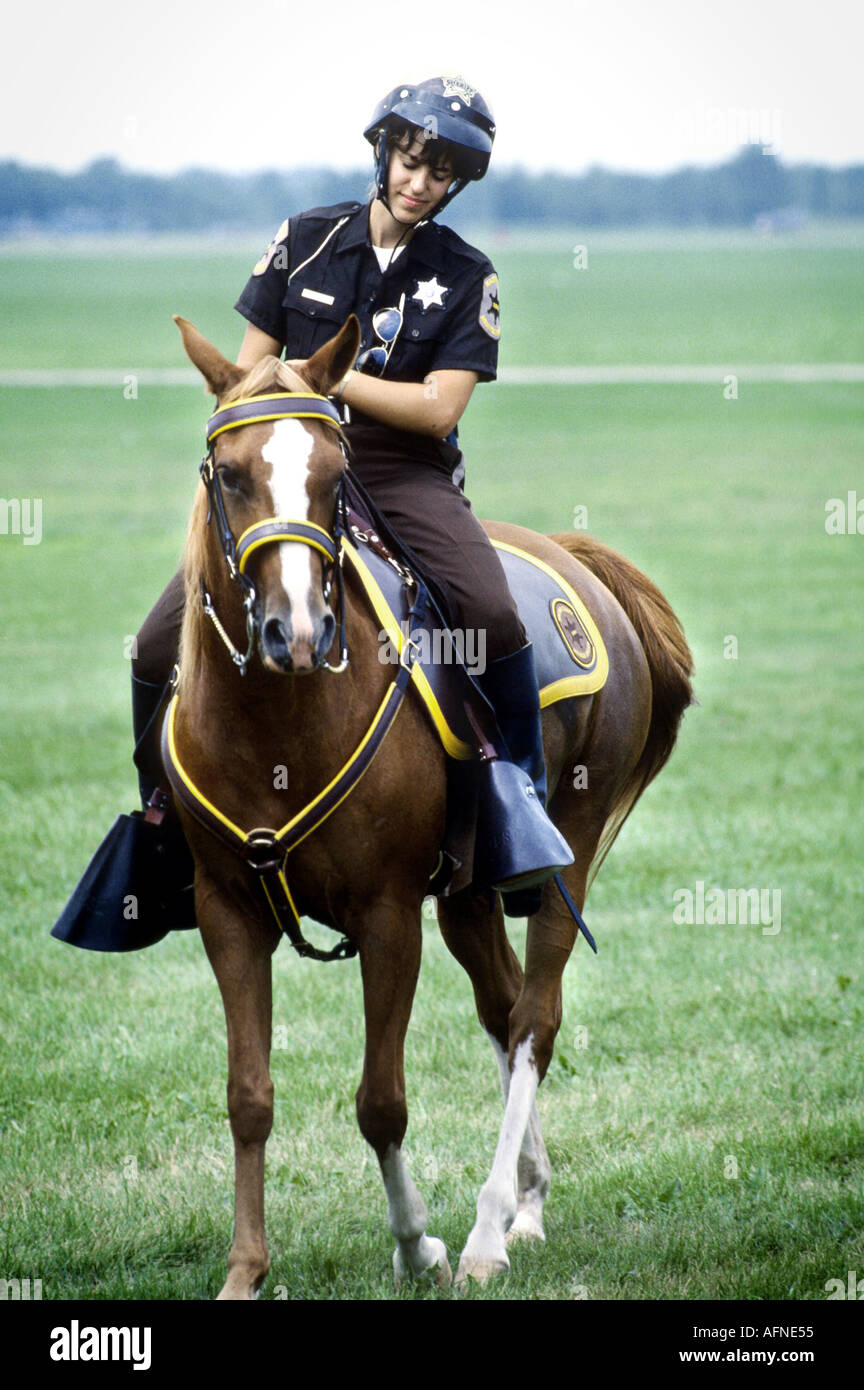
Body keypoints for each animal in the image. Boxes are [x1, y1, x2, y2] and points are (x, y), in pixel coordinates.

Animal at [166, 312, 693, 1297]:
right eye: (231, 473)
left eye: (333, 478)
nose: (297, 631)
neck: (279, 724)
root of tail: (577, 563)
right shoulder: (228, 914)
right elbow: (248, 1096)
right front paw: (245, 1270)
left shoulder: (387, 917)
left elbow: (381, 1100)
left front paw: (418, 1246)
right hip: (469, 894)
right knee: (503, 1005)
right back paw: (528, 1202)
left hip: (563, 854)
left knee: (533, 1020)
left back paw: (488, 1229)